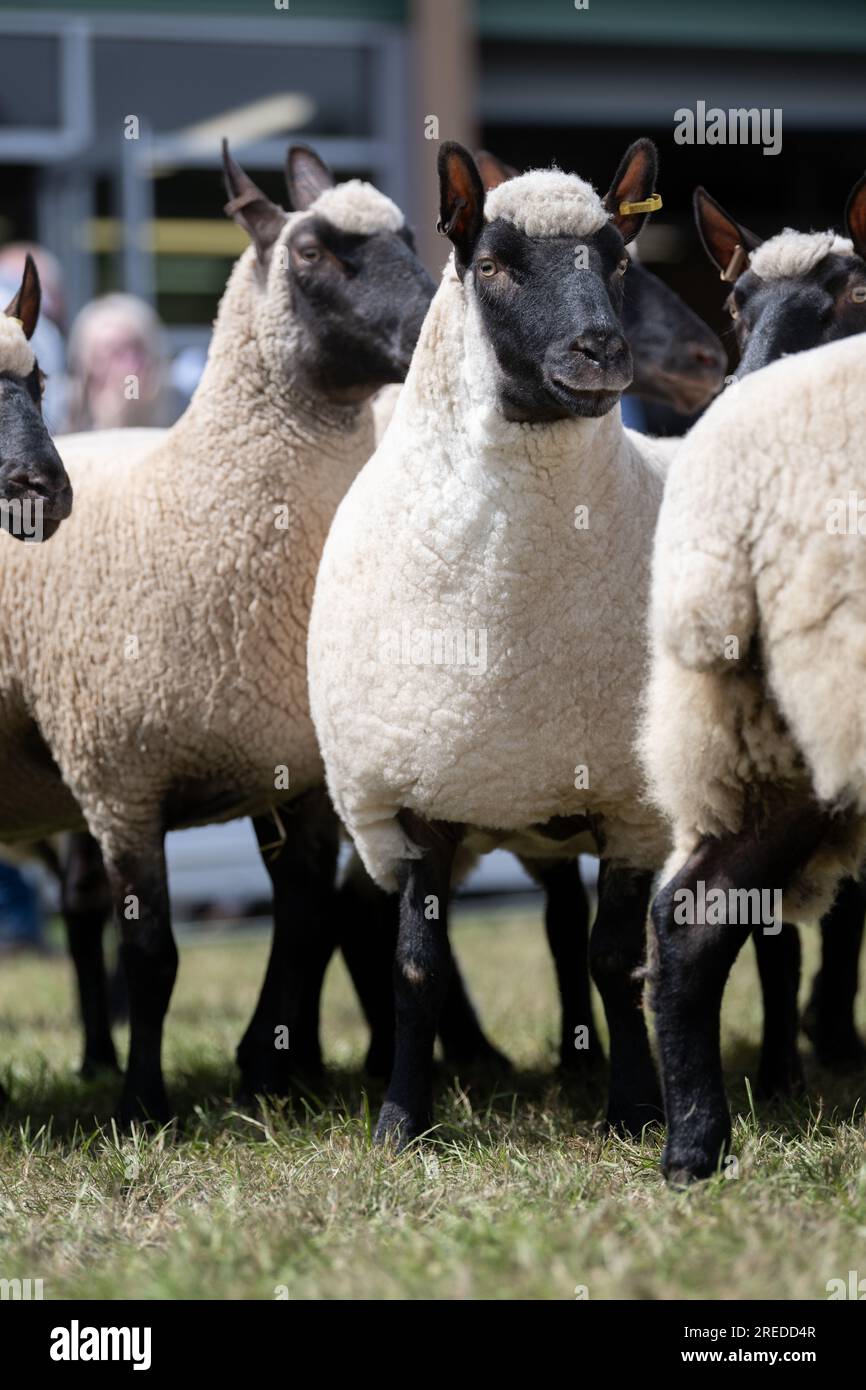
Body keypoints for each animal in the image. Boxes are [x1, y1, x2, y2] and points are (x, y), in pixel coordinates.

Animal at [0, 142, 434, 1123]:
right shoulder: (121, 781)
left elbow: (303, 925)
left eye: (408, 235)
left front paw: (268, 1072)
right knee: (91, 918)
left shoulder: (297, 776)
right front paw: (144, 1105)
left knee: (81, 910)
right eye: (311, 251)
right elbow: (153, 954)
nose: (435, 322)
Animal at [308, 139, 680, 1146]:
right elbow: (416, 968)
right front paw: (401, 1120)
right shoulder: (411, 801)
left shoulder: (631, 805)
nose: (601, 351)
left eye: (619, 261)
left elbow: (613, 957)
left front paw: (636, 1109)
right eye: (492, 265)